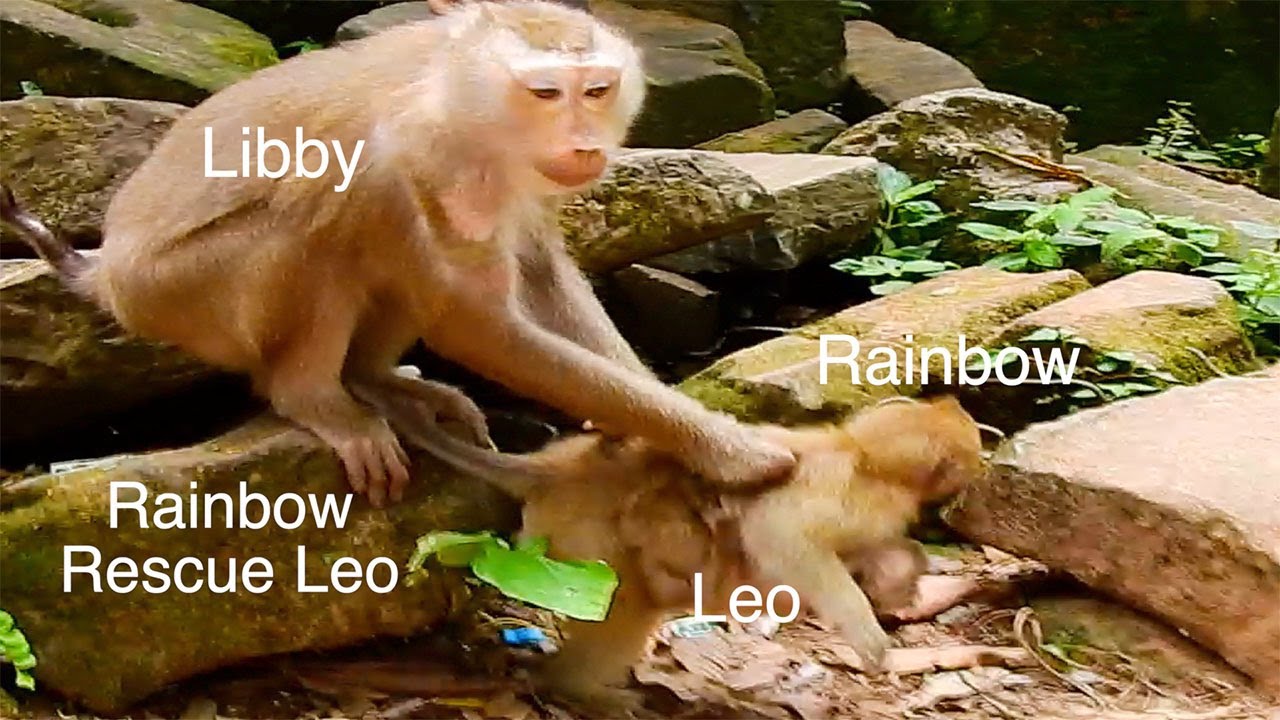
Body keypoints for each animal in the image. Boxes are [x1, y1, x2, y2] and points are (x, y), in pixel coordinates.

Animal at [0, 0, 794, 507]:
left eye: (596, 90)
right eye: (546, 93)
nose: (584, 143)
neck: (464, 100)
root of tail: (108, 271)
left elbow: (540, 271)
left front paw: (649, 414)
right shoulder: (410, 158)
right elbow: (473, 322)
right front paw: (727, 450)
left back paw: (374, 378)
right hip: (177, 295)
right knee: (321, 223)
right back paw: (316, 395)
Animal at [360, 389, 986, 712]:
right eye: (972, 447)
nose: (981, 464)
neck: (862, 455)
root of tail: (557, 469)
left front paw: (903, 579)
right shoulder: (855, 496)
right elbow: (782, 536)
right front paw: (877, 648)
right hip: (587, 539)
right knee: (627, 604)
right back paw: (578, 690)